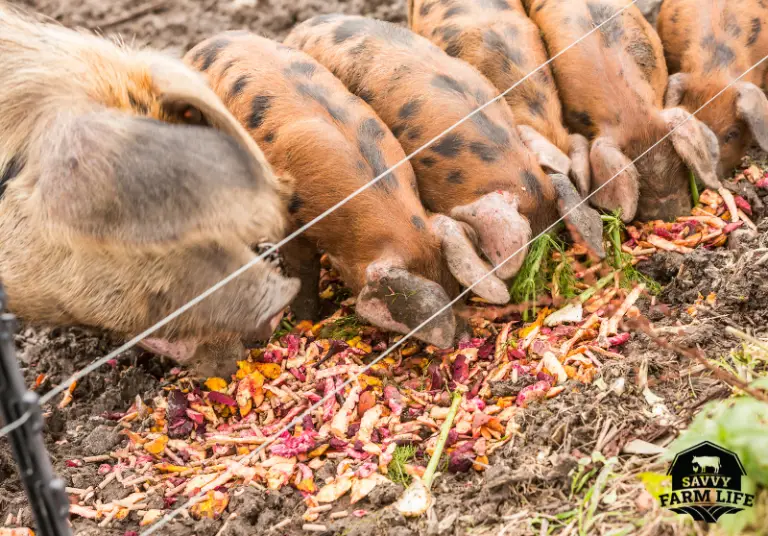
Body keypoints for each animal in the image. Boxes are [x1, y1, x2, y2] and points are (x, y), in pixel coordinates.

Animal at [185, 32, 511, 348]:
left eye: (455, 285)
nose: (465, 338)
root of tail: (200, 45)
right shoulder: (290, 223)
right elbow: (303, 270)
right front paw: (311, 319)